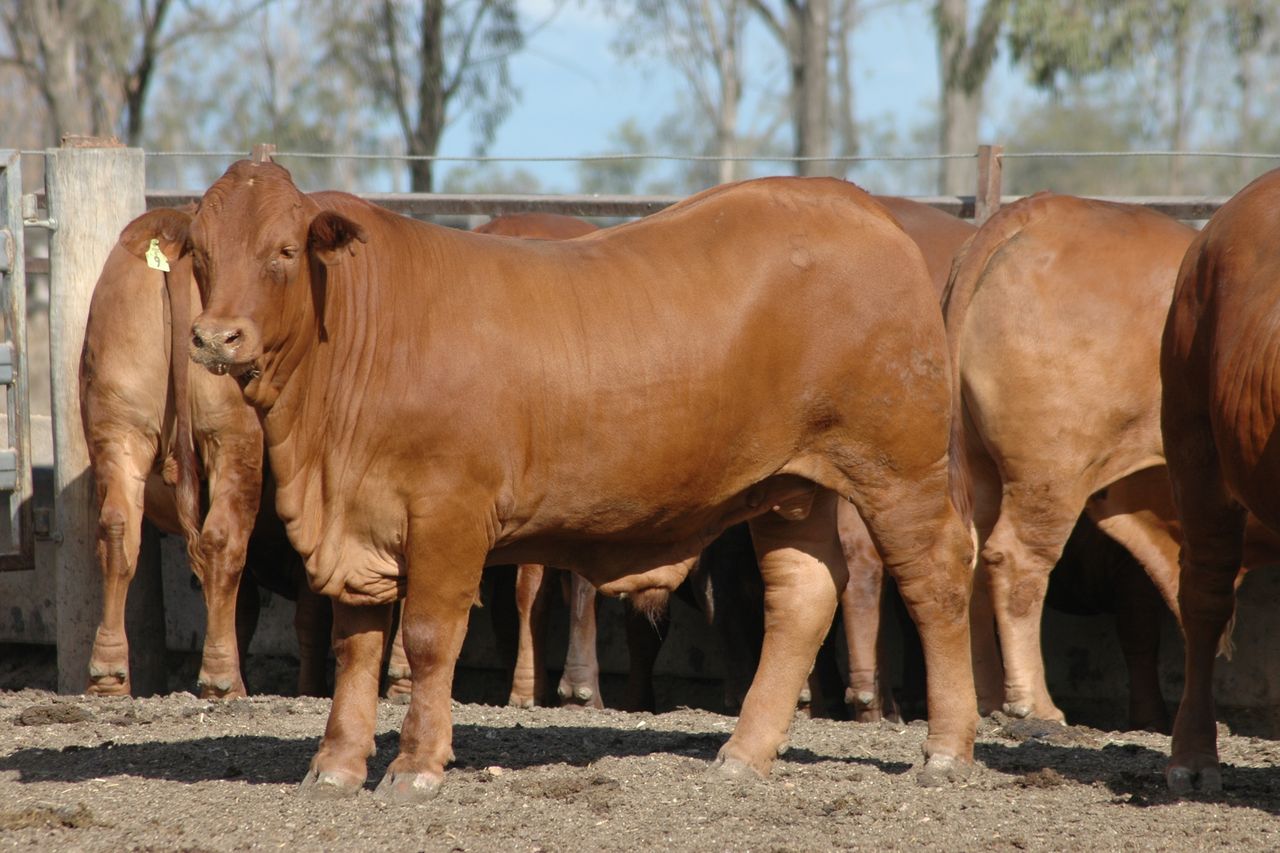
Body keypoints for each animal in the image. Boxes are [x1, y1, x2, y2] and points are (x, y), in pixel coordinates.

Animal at [142, 160, 975, 801]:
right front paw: (336, 765)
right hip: (789, 487)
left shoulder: (448, 512)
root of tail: (855, 203)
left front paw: (416, 765)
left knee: (934, 577)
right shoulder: (356, 525)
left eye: (284, 249)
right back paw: (743, 752)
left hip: (898, 465)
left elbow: (430, 637)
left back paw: (946, 747)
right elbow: (358, 645)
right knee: (802, 595)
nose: (215, 337)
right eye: (202, 253)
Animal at [944, 193, 1197, 728]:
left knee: (972, 562)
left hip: (980, 467)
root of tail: (1043, 208)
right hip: (1051, 469)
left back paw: (986, 696)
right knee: (1016, 559)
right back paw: (1034, 704)